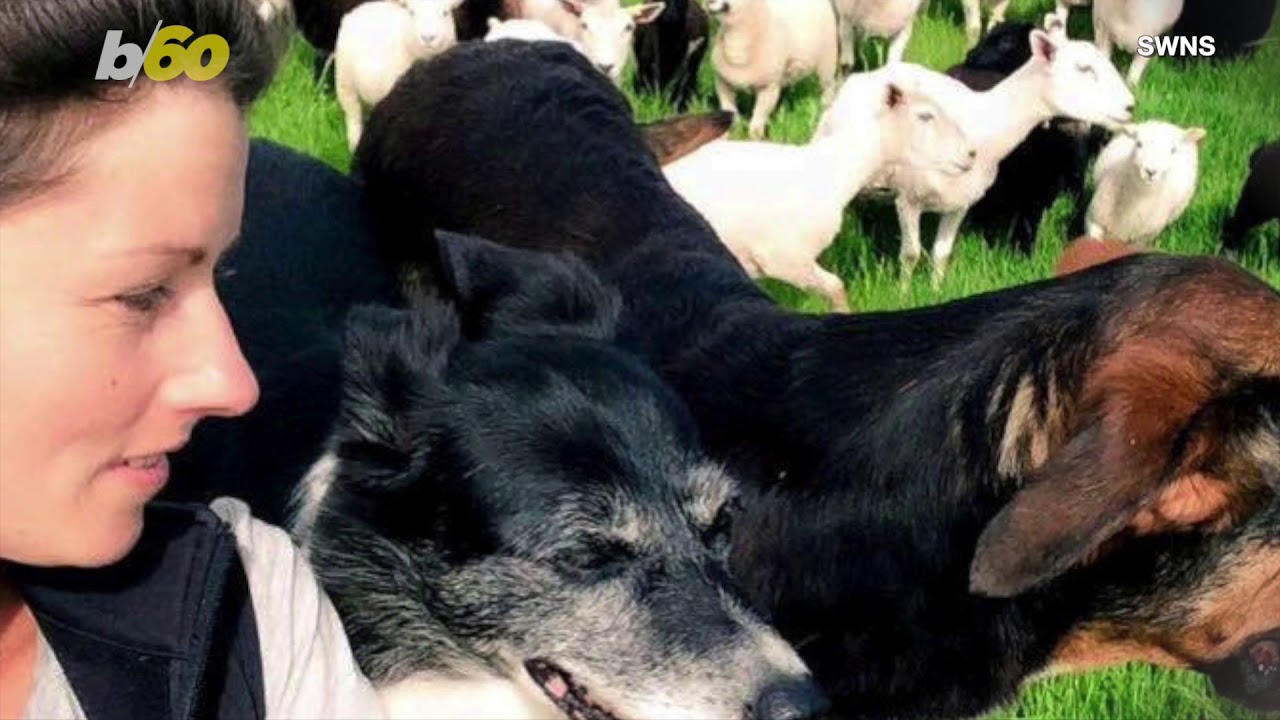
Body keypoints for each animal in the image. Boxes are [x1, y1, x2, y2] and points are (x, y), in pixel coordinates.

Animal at [335, 0, 463, 151]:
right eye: (412, 12)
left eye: (445, 12)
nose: (428, 37)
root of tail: (368, 5)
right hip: (344, 80)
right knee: (353, 114)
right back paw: (354, 142)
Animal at [706, 0, 839, 140]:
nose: (709, 2)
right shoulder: (723, 82)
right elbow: (729, 112)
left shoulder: (768, 87)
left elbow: (756, 124)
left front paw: (756, 139)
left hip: (827, 62)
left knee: (828, 88)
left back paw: (825, 108)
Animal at [818, 28, 1134, 287]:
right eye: (1084, 69)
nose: (1131, 106)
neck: (983, 122)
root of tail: (869, 75)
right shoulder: (909, 198)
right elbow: (910, 254)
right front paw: (904, 294)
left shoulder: (962, 203)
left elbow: (941, 253)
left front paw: (935, 290)